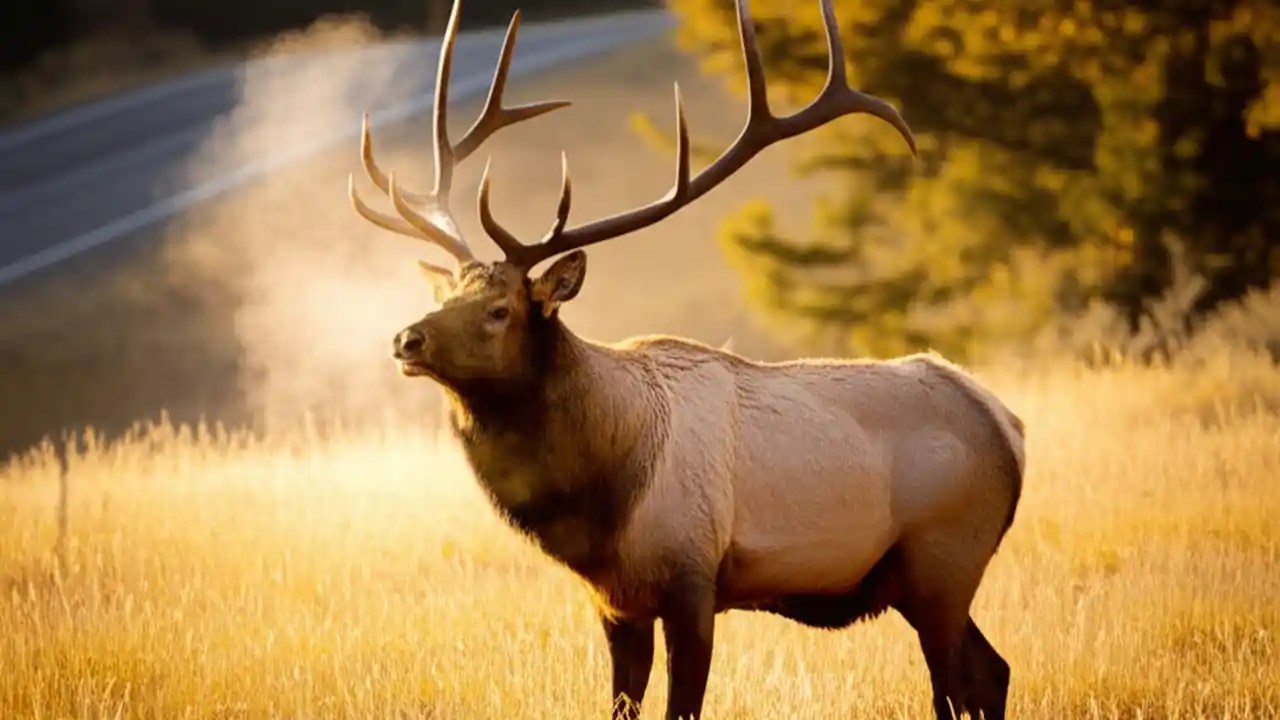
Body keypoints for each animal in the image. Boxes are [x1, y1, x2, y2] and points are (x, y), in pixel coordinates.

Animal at [348, 0, 1025, 718]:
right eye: (448, 293)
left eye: (500, 308)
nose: (406, 339)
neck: (606, 500)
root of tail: (1008, 426)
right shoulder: (615, 602)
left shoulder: (693, 579)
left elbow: (684, 704)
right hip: (920, 579)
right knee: (993, 670)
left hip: (945, 557)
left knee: (957, 684)